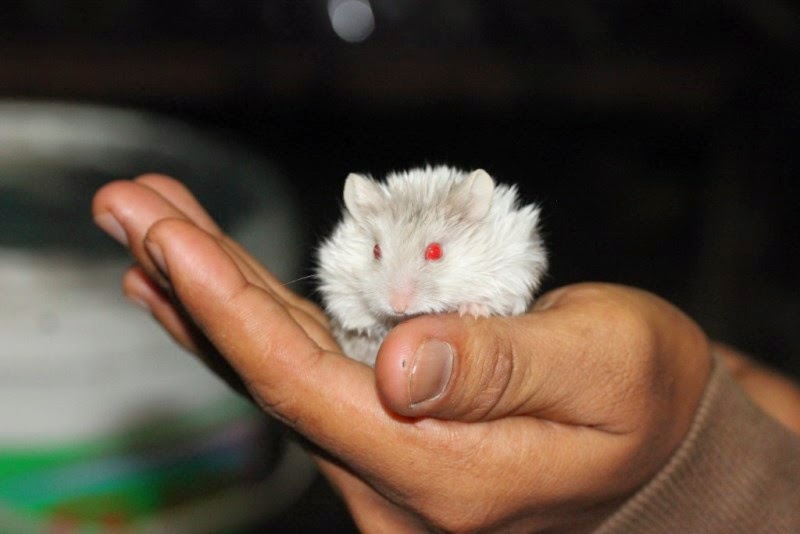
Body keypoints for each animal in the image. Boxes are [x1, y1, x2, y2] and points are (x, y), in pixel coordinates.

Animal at [316, 165, 548, 366]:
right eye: (375, 250)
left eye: (435, 251)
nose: (398, 307)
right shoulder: (338, 287)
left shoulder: (516, 268)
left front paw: (471, 310)